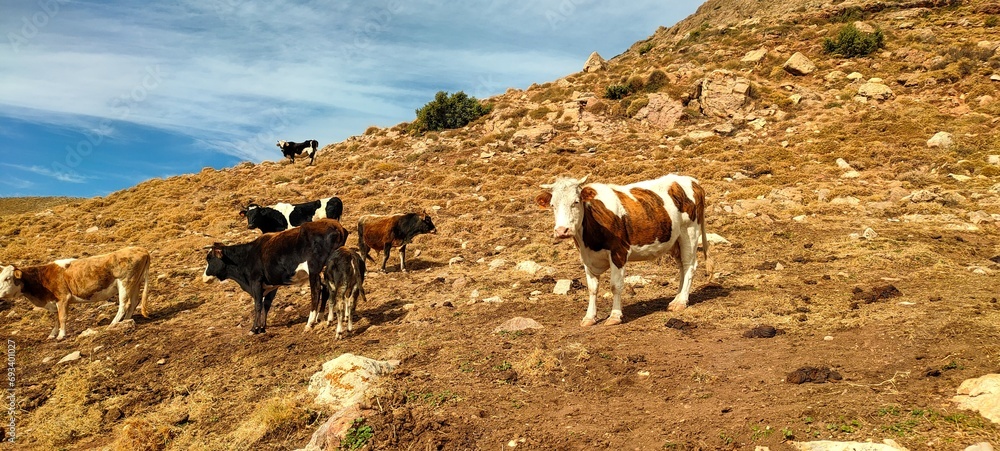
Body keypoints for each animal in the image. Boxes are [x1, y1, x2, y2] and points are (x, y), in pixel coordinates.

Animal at [0, 247, 150, 340]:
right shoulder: (53, 302)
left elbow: (62, 317)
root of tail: (141, 249)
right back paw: (126, 321)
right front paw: (52, 334)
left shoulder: (63, 298)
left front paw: (61, 335)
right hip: (135, 283)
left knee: (124, 305)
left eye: (7, 278)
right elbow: (55, 319)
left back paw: (113, 324)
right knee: (133, 302)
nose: (0, 294)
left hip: (125, 282)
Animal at [202, 218, 347, 334]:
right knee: (327, 288)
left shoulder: (256, 281)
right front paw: (262, 327)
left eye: (209, 258)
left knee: (316, 291)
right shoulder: (272, 286)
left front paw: (254, 329)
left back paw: (310, 323)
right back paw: (322, 318)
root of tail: (335, 225)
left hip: (314, 269)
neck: (247, 256)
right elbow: (266, 305)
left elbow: (258, 305)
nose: (204, 277)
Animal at [535, 175, 711, 327]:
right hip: (675, 240)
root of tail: (692, 181)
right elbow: (592, 288)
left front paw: (615, 316)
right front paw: (589, 318)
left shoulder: (618, 252)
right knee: (682, 267)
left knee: (689, 265)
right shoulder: (586, 258)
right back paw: (677, 298)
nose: (561, 230)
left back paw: (681, 302)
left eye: (576, 202)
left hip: (689, 232)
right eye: (552, 205)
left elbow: (615, 285)